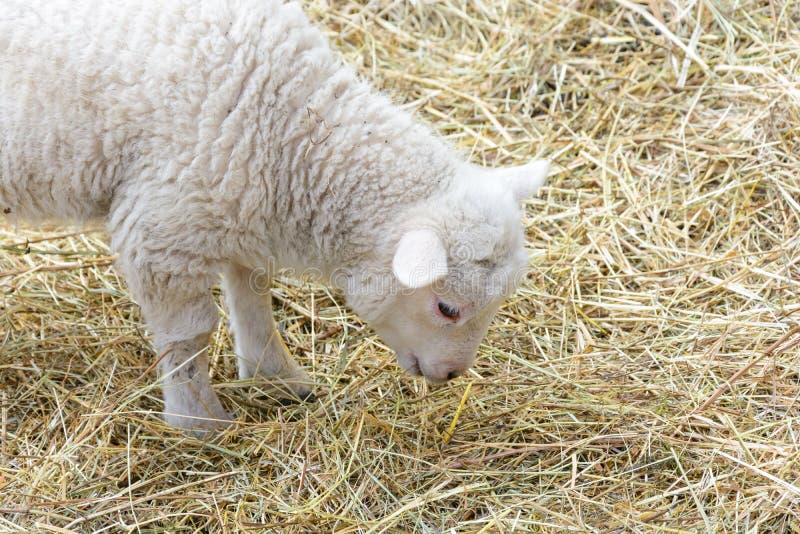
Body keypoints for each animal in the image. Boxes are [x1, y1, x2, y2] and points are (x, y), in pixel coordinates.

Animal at [0, 0, 550, 434]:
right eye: (447, 308)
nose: (453, 374)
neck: (289, 122)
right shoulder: (162, 232)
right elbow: (189, 335)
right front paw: (199, 423)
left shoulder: (237, 207)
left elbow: (254, 293)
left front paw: (275, 375)